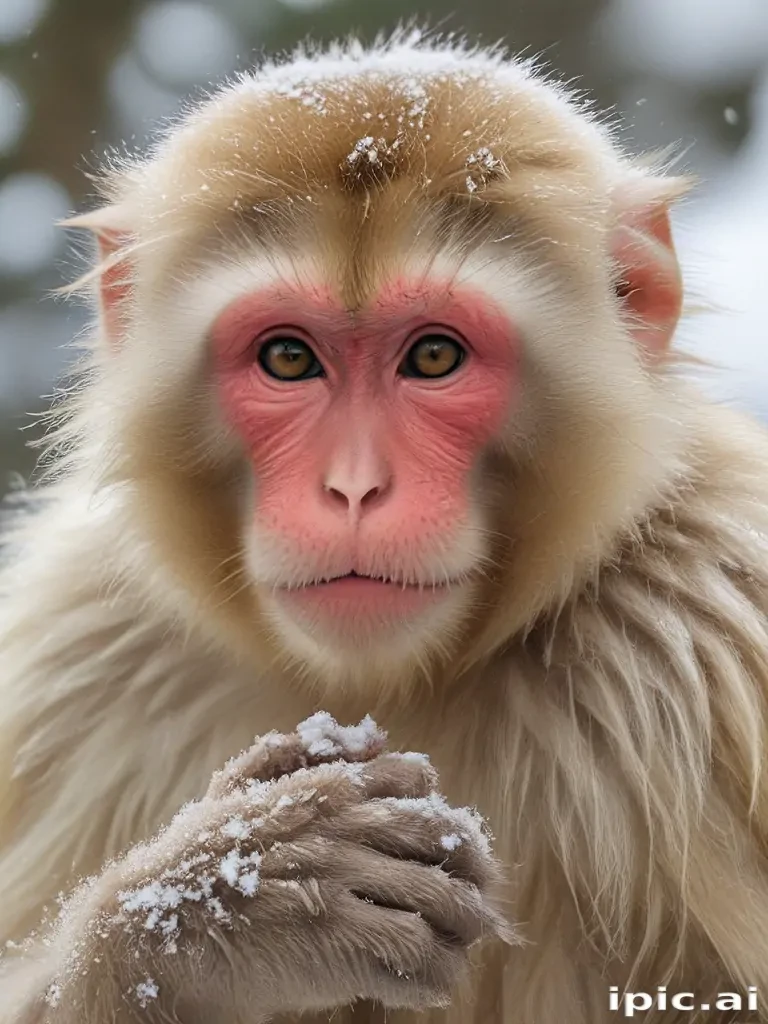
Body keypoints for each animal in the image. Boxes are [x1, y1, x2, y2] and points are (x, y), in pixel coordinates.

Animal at [2, 24, 768, 1024]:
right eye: (289, 358)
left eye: (433, 356)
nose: (355, 489)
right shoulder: (65, 649)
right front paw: (215, 912)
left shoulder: (720, 610)